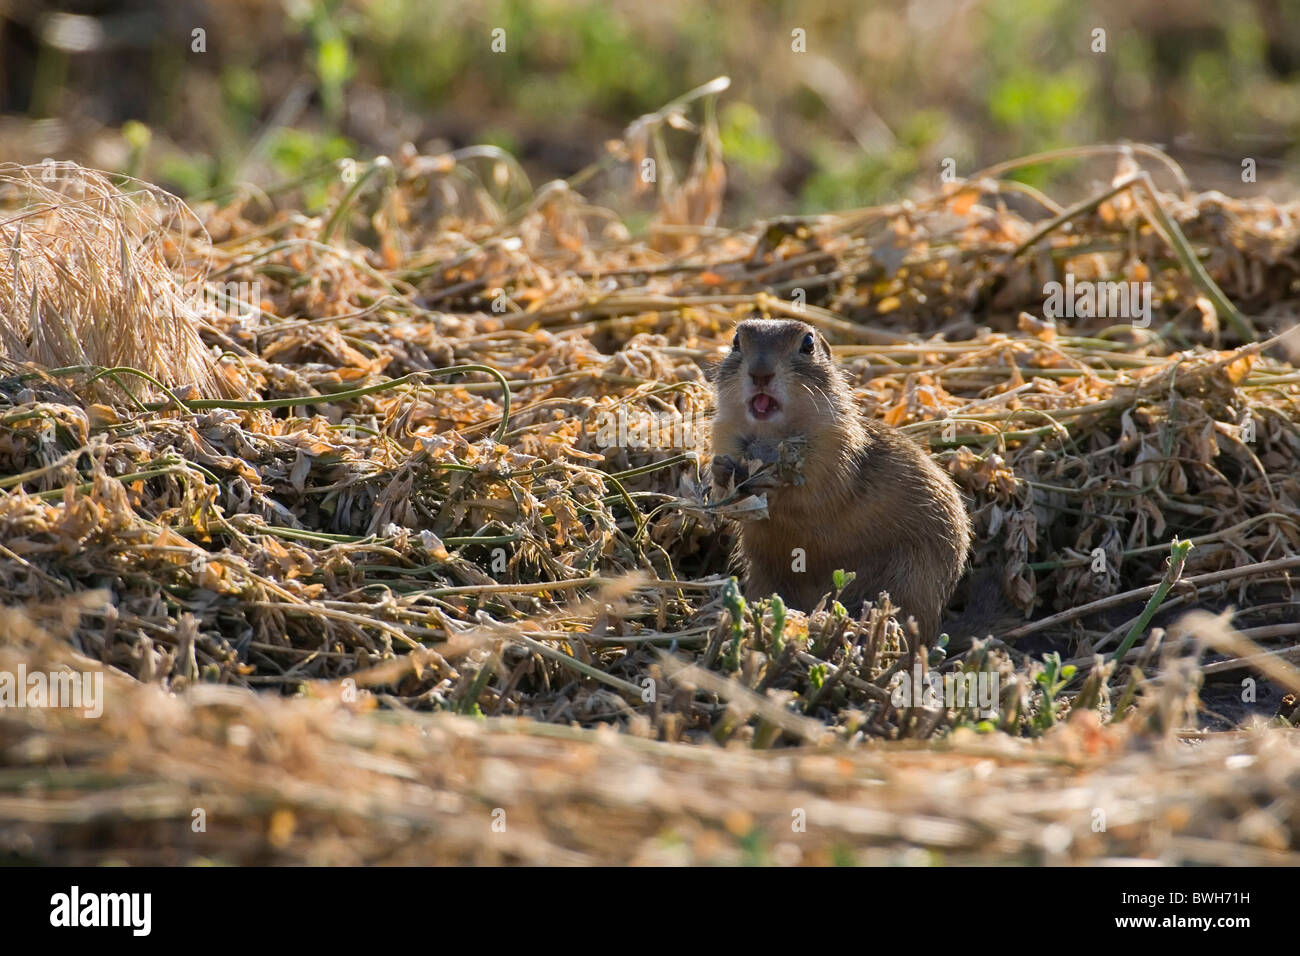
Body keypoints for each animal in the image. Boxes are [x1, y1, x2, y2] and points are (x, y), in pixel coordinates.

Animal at [710, 318, 973, 645]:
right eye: (736, 341)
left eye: (808, 344)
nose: (760, 373)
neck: (770, 435)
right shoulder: (723, 436)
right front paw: (721, 471)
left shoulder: (834, 453)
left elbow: (811, 495)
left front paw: (769, 483)